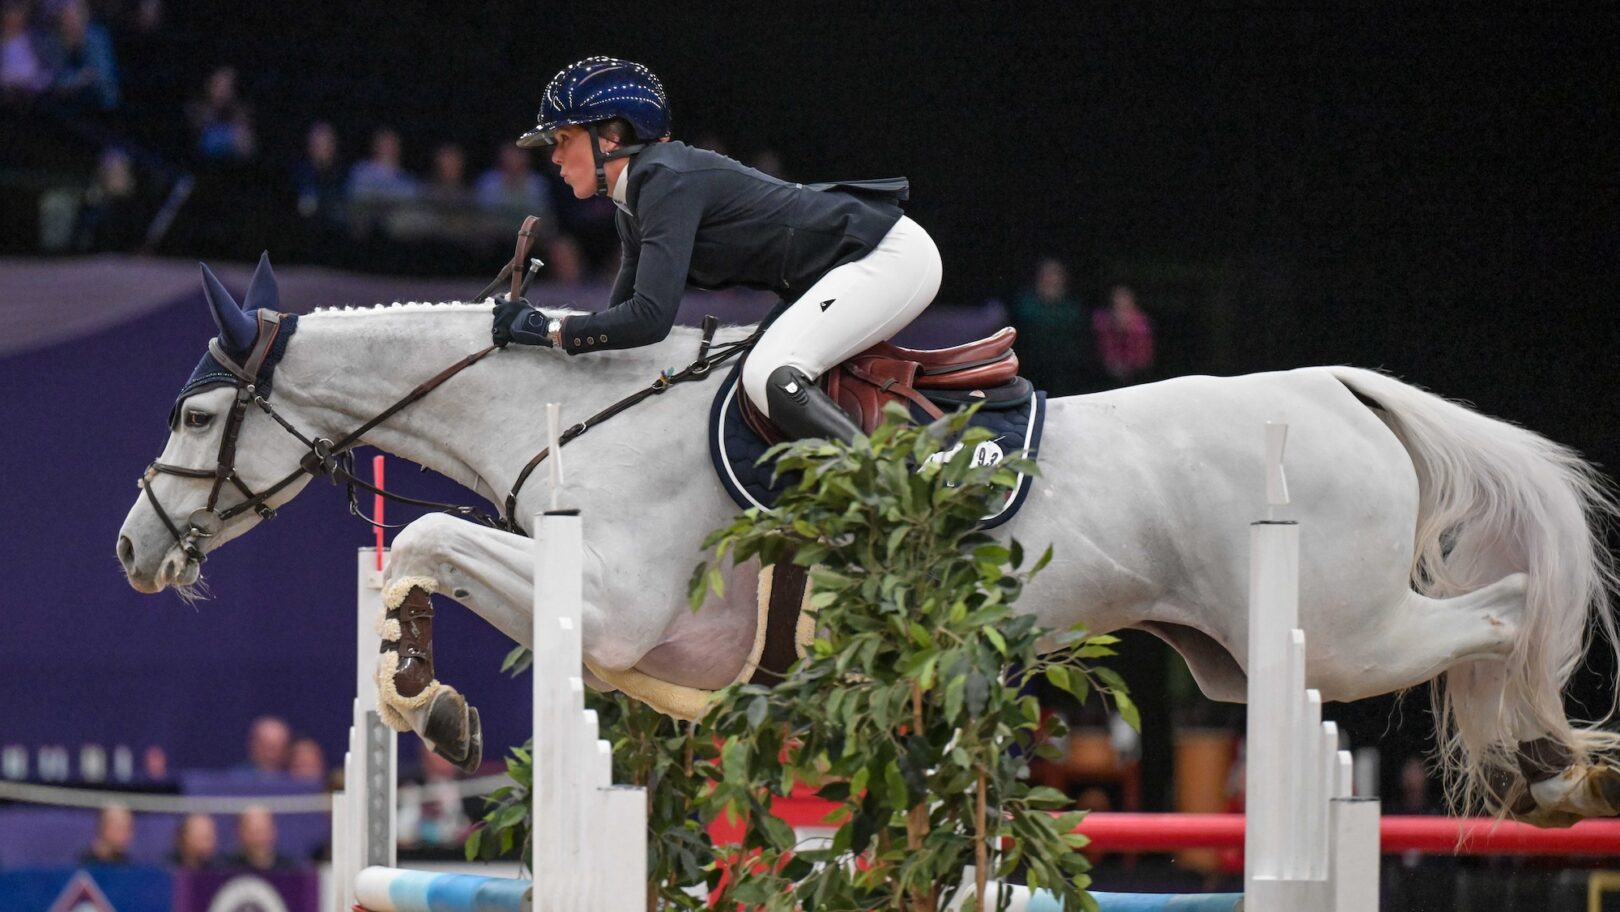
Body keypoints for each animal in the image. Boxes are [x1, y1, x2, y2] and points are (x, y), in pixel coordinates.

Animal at [115, 260, 1620, 826]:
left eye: (192, 412)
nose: (131, 552)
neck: (571, 406)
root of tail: (1339, 387)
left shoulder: (615, 607)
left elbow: (428, 530)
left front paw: (427, 699)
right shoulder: (650, 654)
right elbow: (425, 554)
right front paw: (427, 699)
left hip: (1348, 633)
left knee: (1498, 611)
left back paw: (1545, 764)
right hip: (1247, 658)